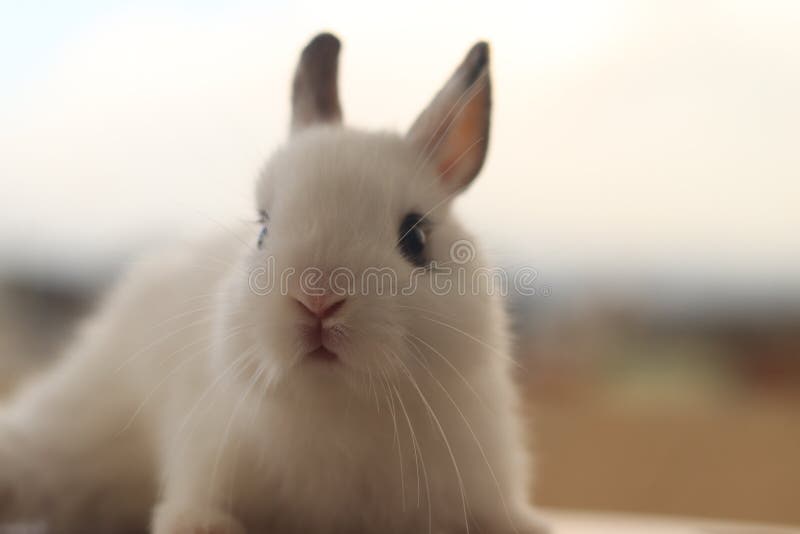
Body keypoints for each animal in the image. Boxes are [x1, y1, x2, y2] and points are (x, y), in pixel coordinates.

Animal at [0, 33, 548, 534]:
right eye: (263, 229)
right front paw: (206, 526)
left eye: (415, 237)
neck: (339, 412)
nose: (317, 299)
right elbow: (193, 516)